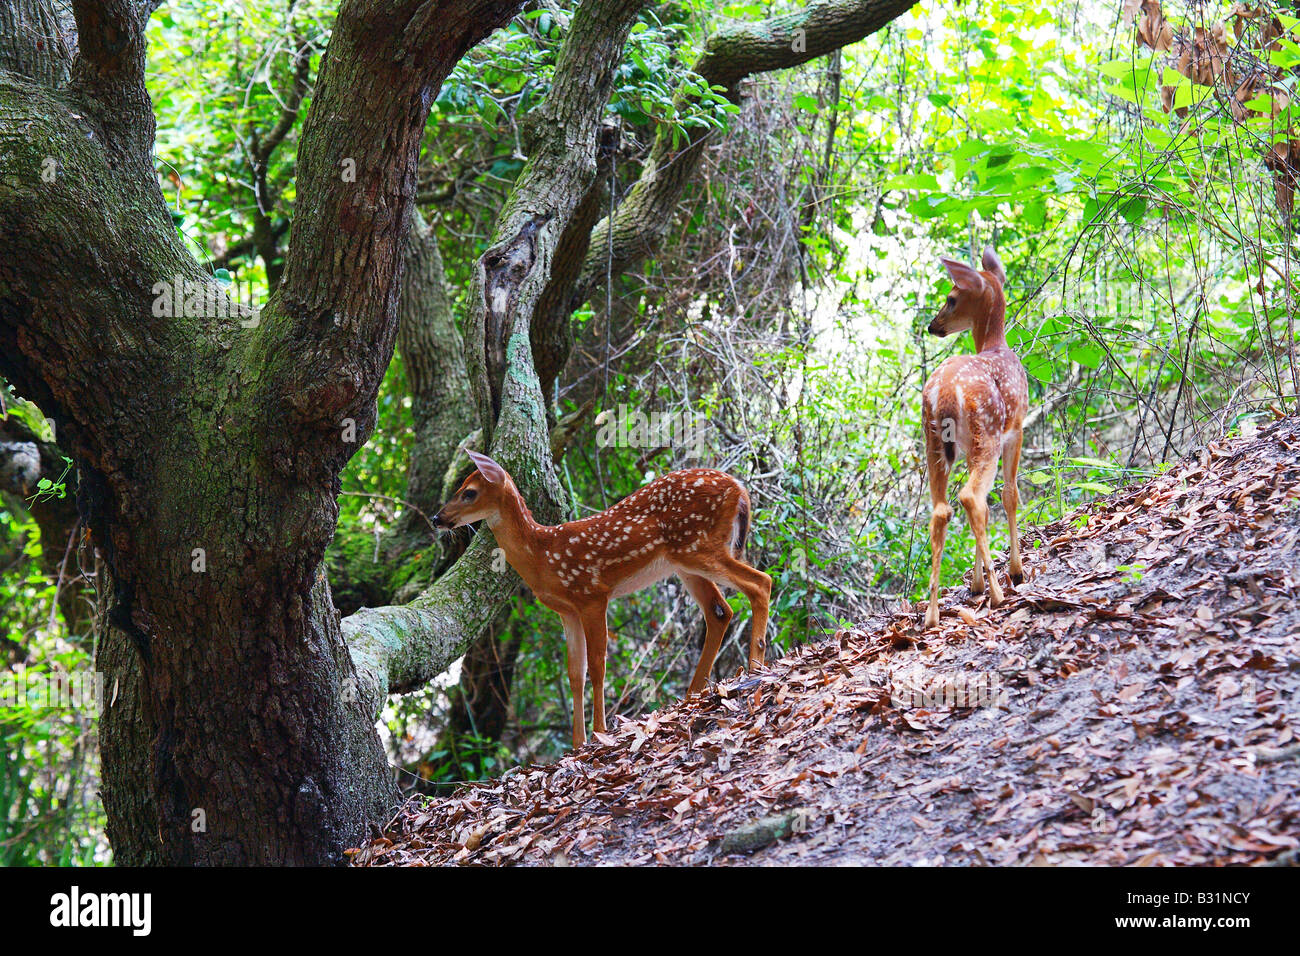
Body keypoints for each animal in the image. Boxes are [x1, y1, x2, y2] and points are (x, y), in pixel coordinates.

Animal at [432, 450, 772, 748]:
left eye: (469, 493)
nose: (437, 518)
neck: (542, 555)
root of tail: (740, 488)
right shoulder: (566, 611)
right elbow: (575, 672)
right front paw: (576, 743)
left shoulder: (592, 594)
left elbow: (597, 665)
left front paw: (599, 731)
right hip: (685, 561)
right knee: (720, 610)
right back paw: (694, 693)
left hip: (699, 546)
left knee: (761, 582)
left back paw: (755, 668)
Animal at [921, 245, 1028, 630]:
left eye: (951, 298)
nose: (932, 325)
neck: (996, 345)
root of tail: (944, 393)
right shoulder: (1017, 427)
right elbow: (1010, 495)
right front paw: (1016, 570)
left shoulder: (968, 448)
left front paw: (976, 582)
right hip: (988, 433)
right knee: (972, 497)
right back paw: (998, 592)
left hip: (935, 444)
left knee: (942, 509)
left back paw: (932, 614)